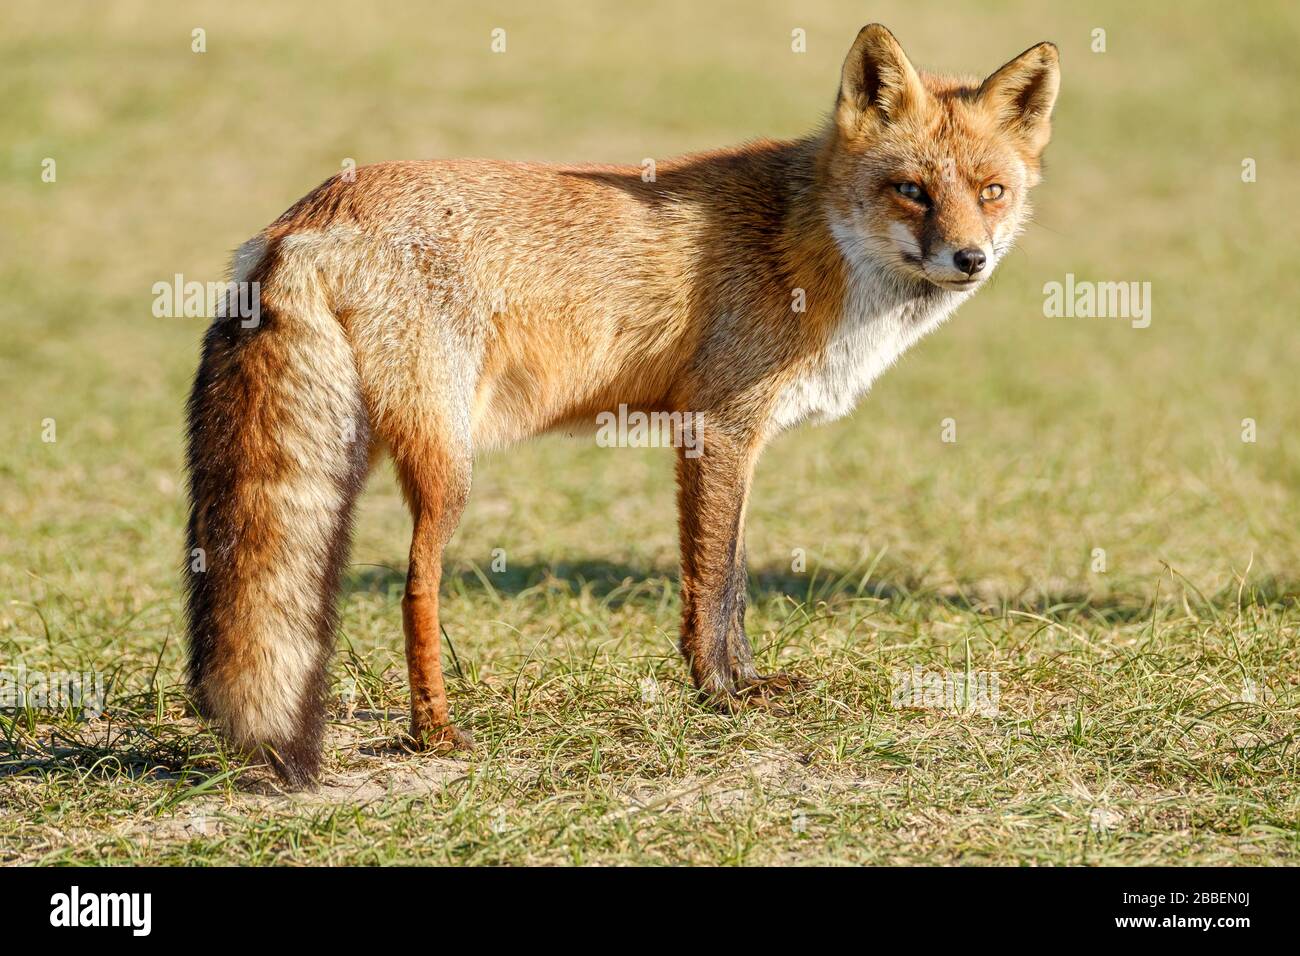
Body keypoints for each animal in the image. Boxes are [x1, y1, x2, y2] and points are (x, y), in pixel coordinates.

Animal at [184, 24, 1059, 787]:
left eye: (992, 192)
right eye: (911, 191)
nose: (970, 259)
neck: (805, 244)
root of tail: (308, 213)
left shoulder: (734, 442)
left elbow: (735, 580)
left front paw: (744, 684)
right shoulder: (719, 430)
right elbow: (714, 584)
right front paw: (721, 695)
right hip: (447, 464)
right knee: (414, 585)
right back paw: (434, 731)